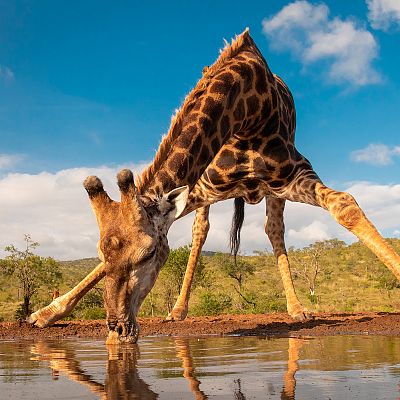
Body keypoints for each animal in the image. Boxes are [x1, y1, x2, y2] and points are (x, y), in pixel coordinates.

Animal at [29, 29, 400, 344]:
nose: (117, 329)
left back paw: (296, 309)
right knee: (201, 231)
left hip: (273, 191)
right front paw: (45, 314)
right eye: (101, 254)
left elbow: (345, 204)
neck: (247, 112)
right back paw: (177, 310)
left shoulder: (294, 174)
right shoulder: (198, 190)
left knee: (273, 229)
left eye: (149, 254)